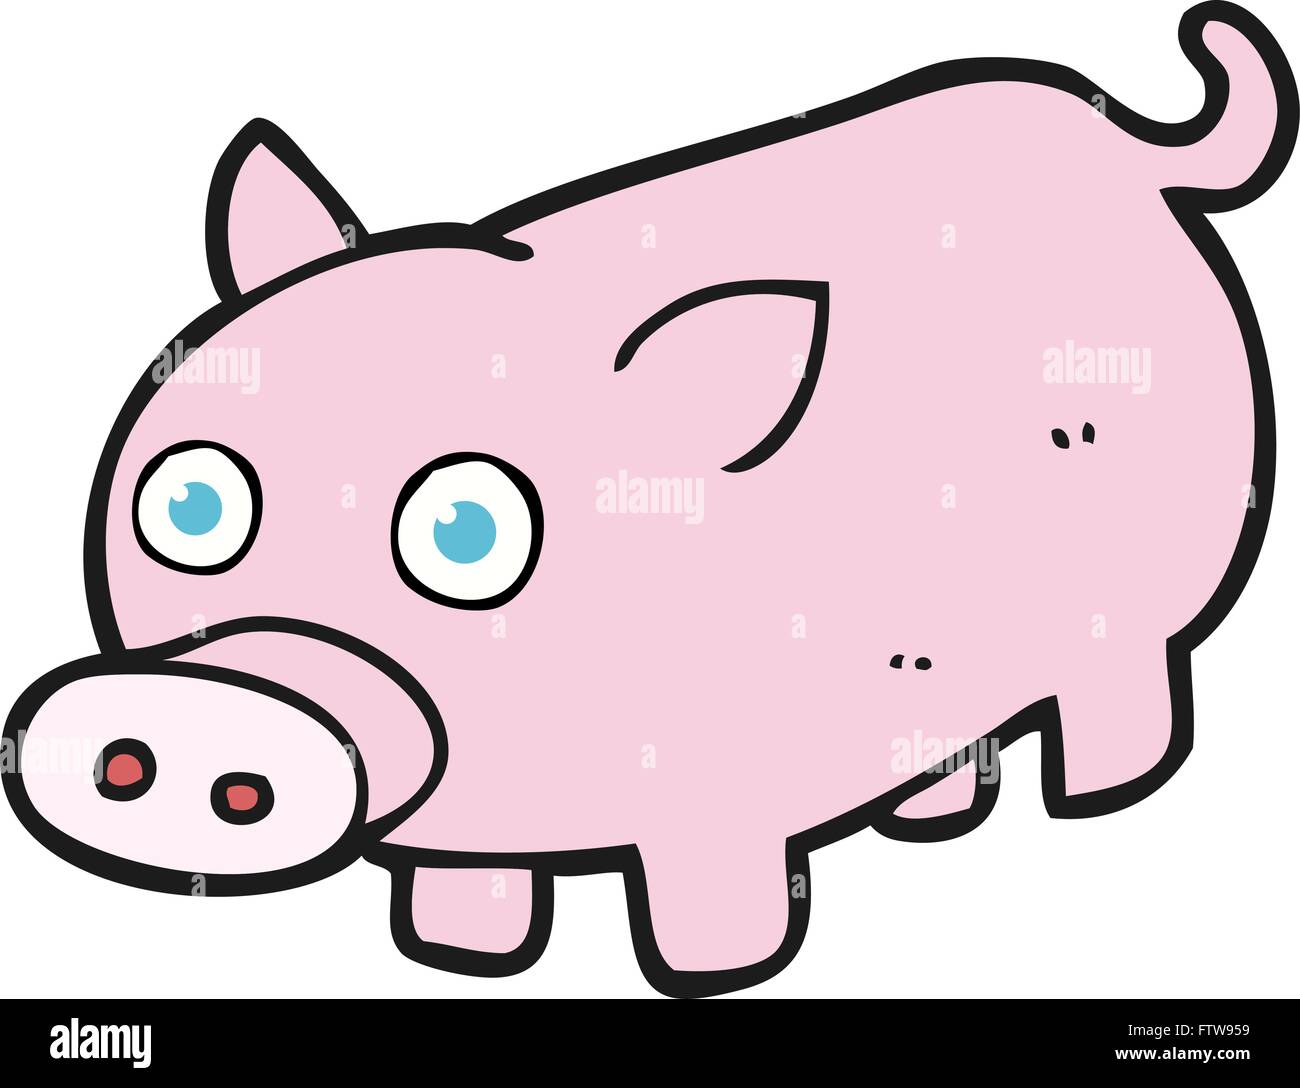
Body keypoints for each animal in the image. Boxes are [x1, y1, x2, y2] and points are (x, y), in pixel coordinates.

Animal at [3, 1, 1294, 996]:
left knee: (1121, 695)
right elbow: (468, 891)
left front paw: (718, 972)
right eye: (191, 503)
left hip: (1132, 622)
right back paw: (926, 817)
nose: (209, 696)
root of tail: (1129, 144)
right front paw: (461, 957)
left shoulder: (721, 811)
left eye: (465, 531)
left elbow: (711, 903)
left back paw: (1100, 795)